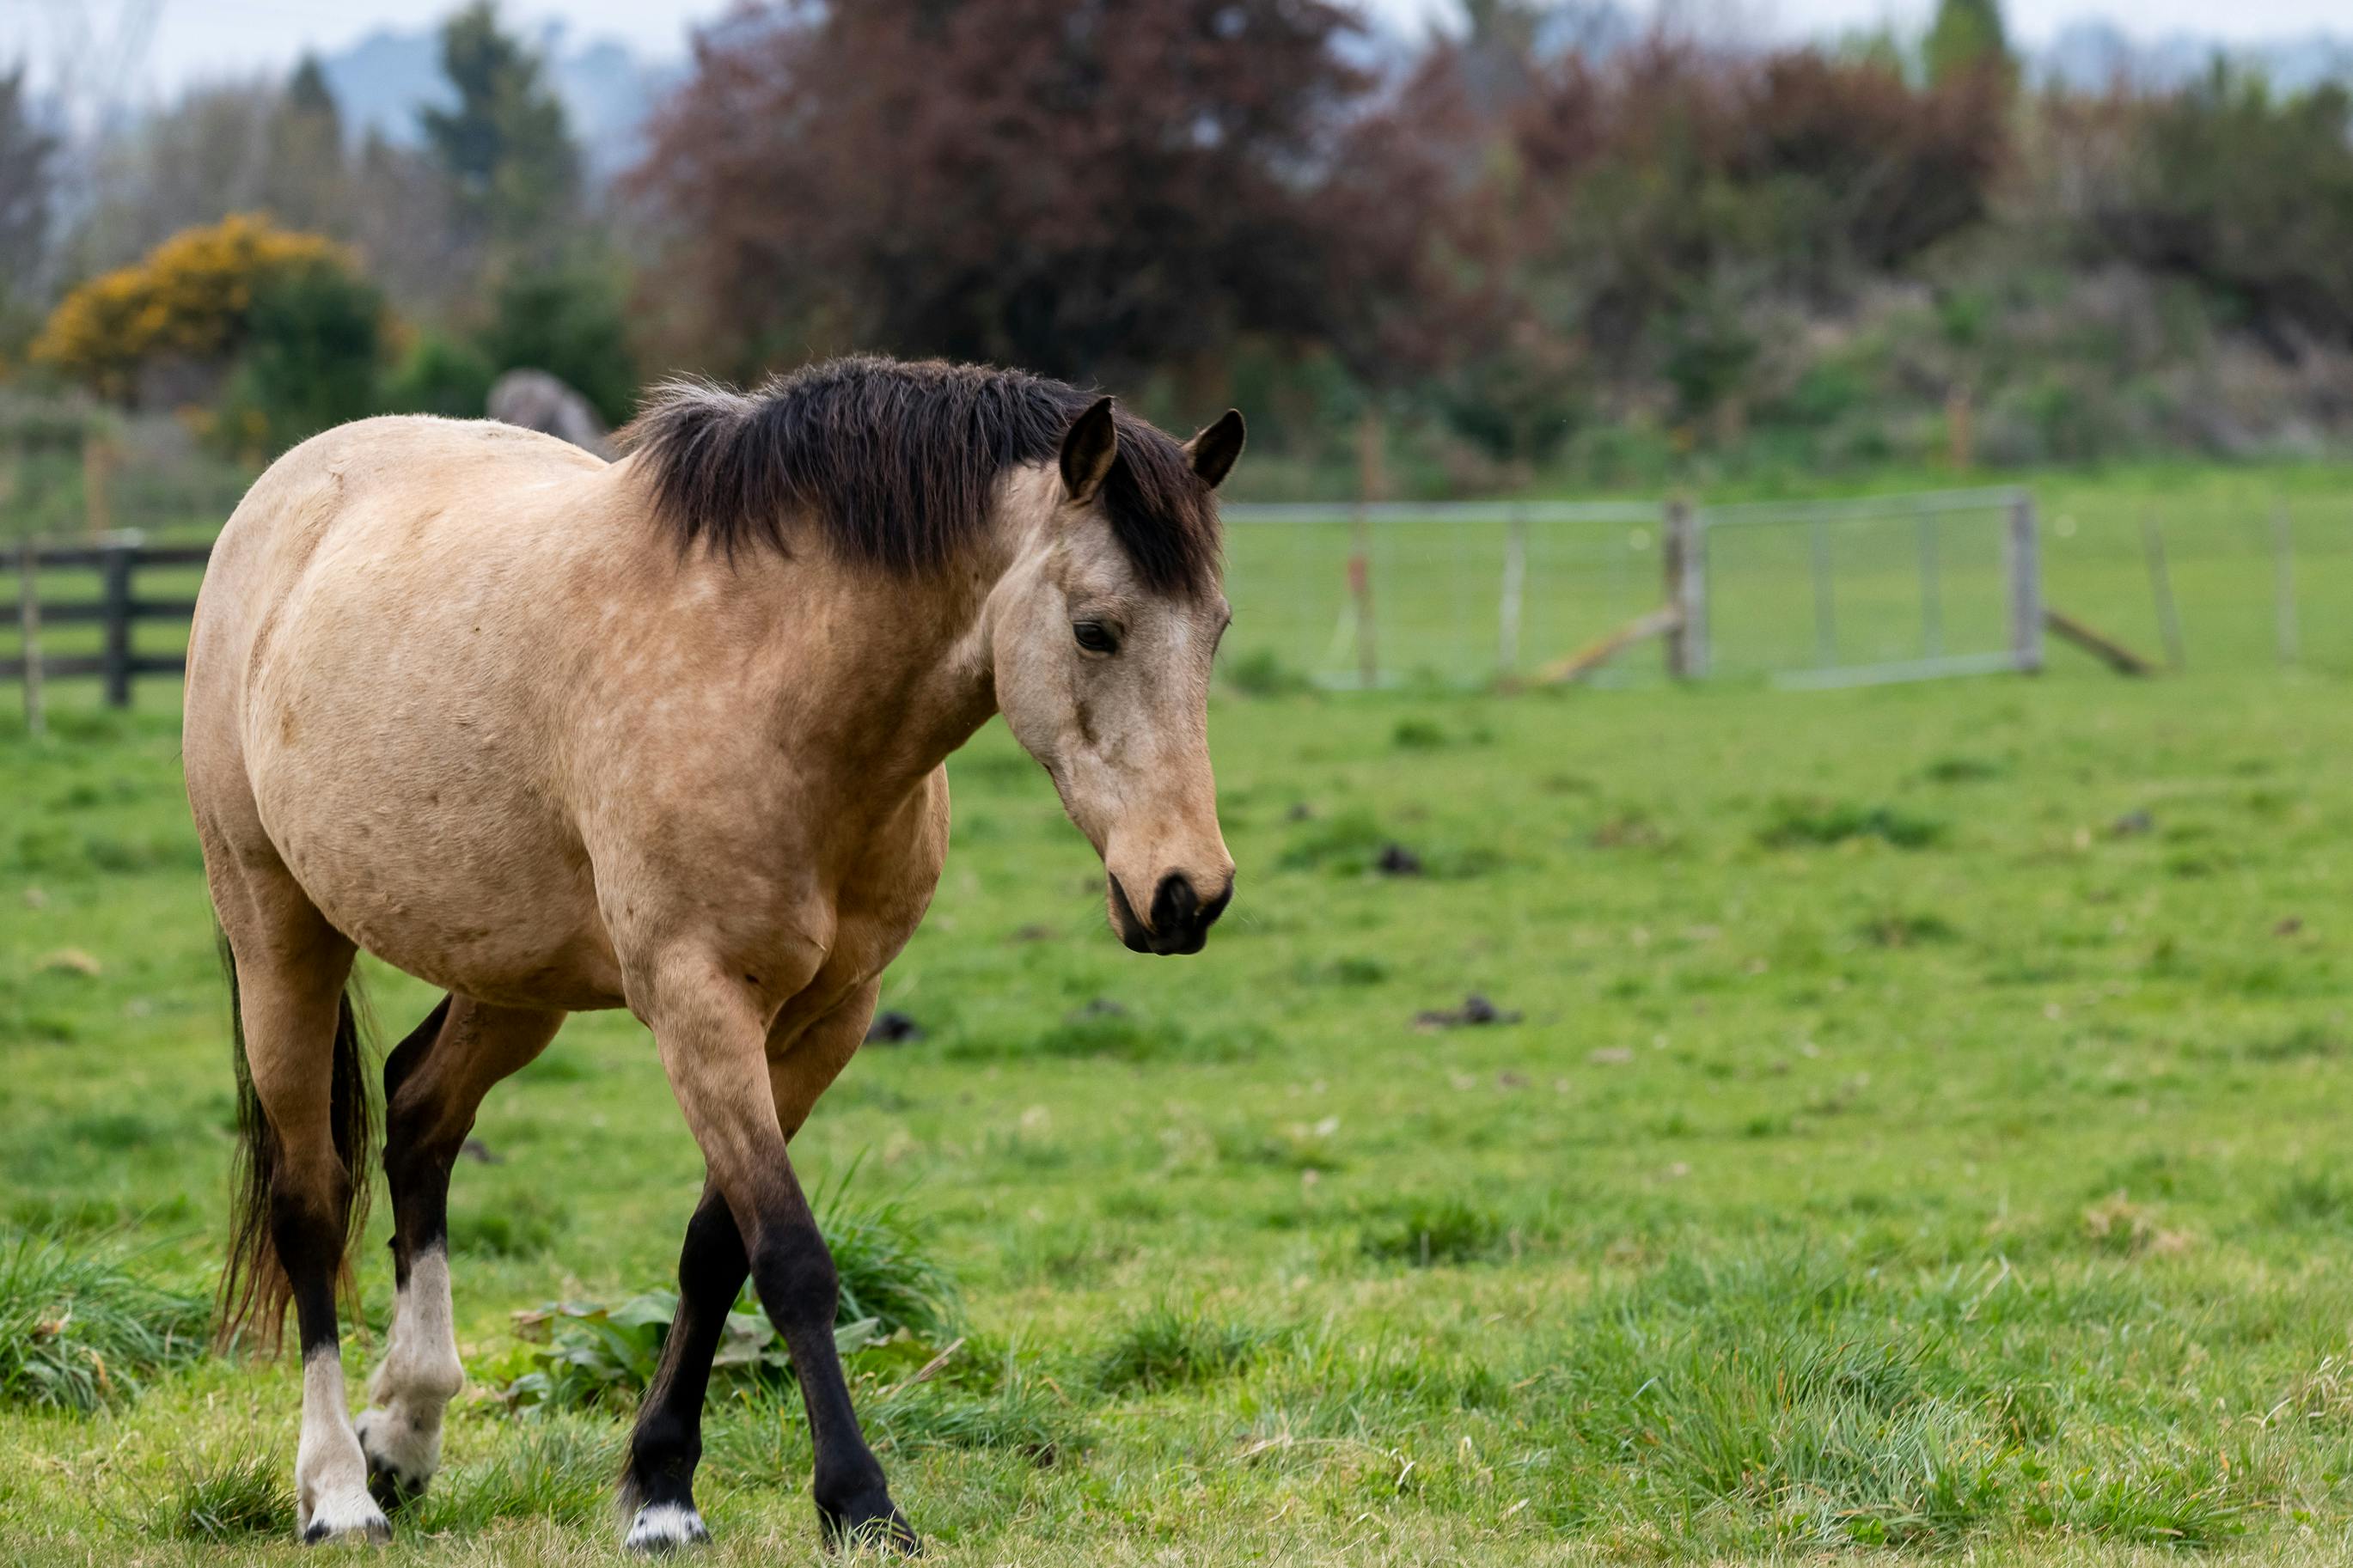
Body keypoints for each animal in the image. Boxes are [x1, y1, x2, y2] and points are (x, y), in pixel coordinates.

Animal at [182, 355, 1244, 1550]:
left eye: (1213, 629)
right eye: (1096, 629)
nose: (1186, 893)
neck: (774, 685)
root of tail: (283, 496)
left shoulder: (828, 1017)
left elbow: (715, 1250)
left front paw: (661, 1488)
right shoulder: (699, 1005)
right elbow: (787, 1255)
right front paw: (858, 1503)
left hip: (511, 976)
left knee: (418, 1117)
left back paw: (404, 1433)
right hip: (279, 930)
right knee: (311, 1199)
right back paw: (337, 1489)